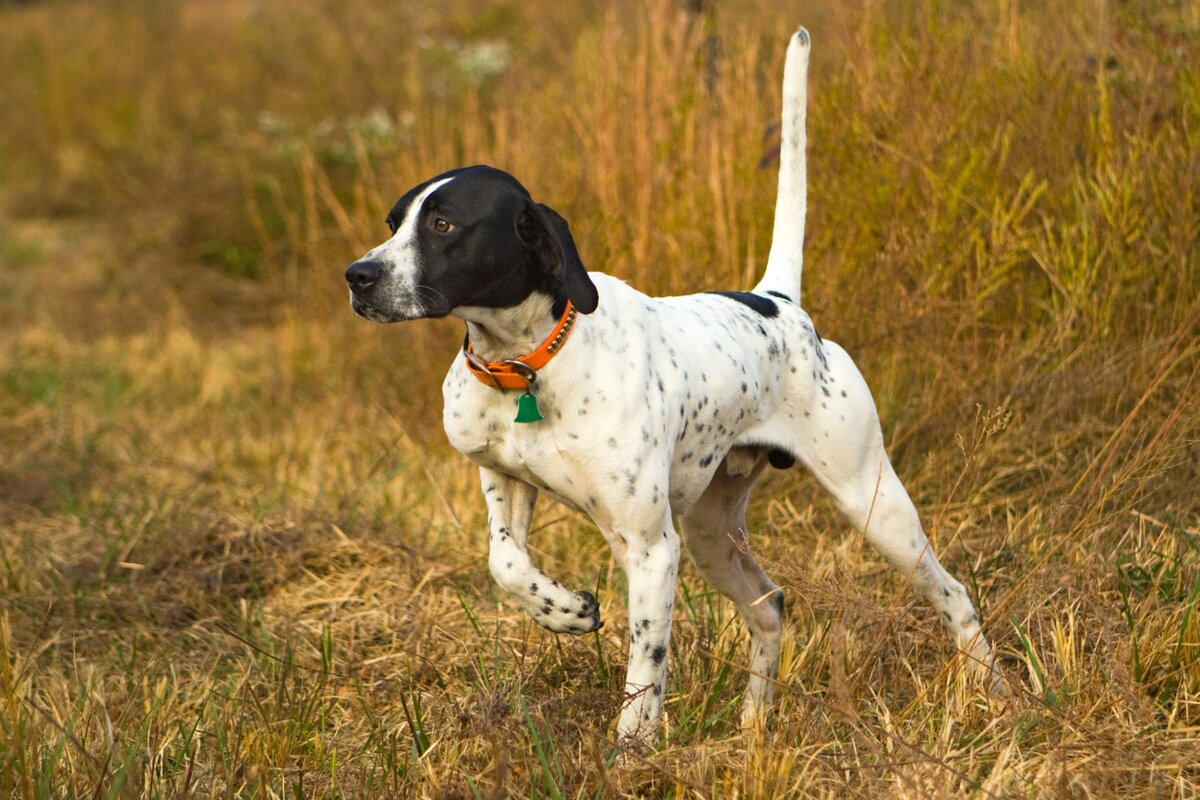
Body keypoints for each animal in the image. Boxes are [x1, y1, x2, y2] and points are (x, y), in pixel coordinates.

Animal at [345, 29, 993, 743]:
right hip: (713, 532)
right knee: (769, 606)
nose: (358, 276)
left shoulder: (652, 548)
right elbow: (505, 562)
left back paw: (987, 694)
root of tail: (779, 302)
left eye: (443, 226)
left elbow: (646, 663)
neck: (530, 364)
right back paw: (753, 726)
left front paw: (633, 748)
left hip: (873, 505)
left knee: (954, 595)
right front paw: (564, 610)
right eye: (393, 222)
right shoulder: (506, 479)